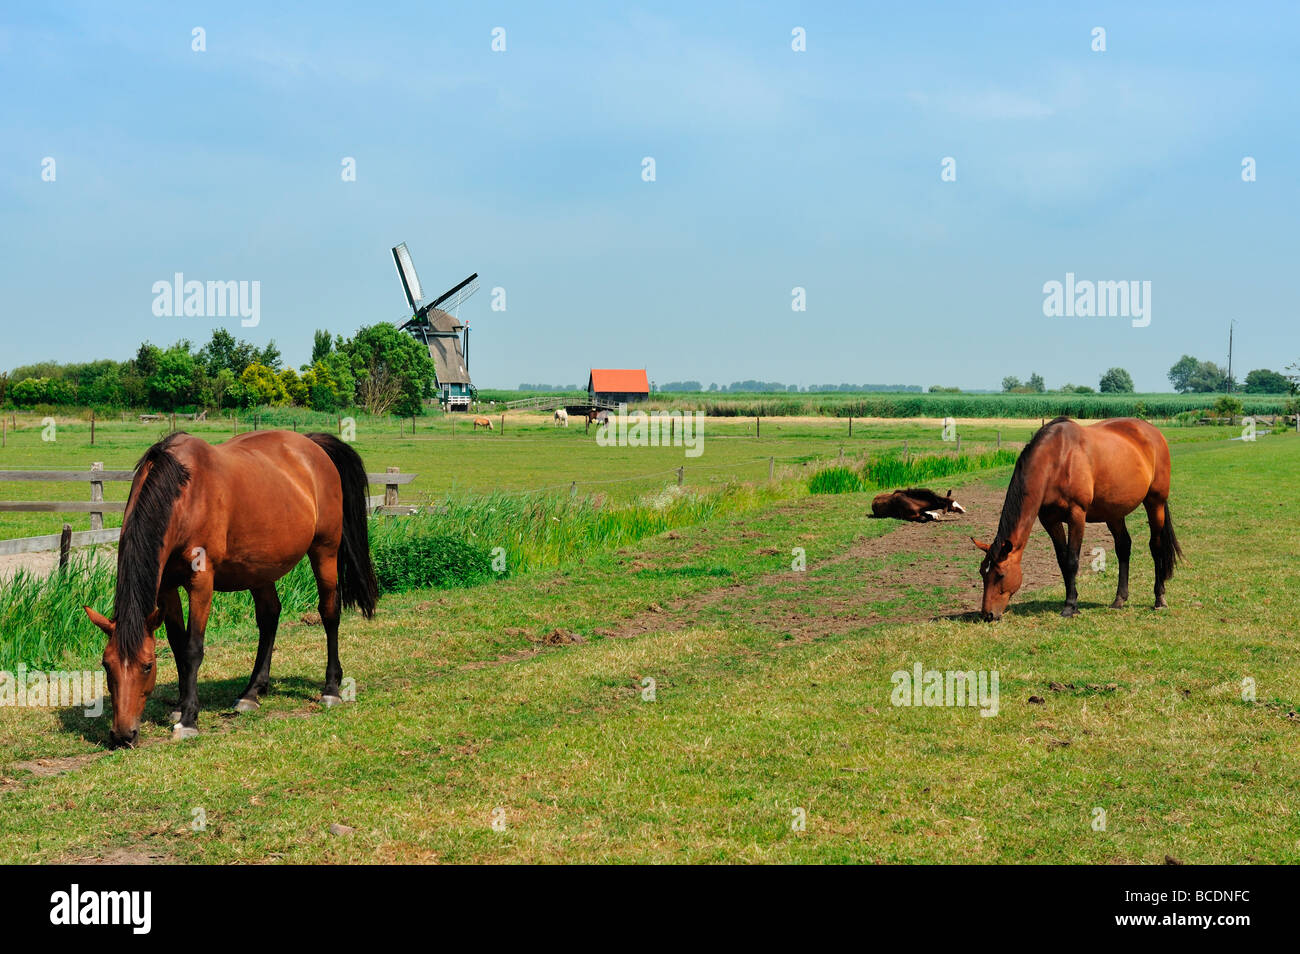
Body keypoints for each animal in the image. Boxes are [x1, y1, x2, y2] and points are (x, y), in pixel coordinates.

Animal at [83, 431, 377, 747]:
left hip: (325, 550)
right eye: (106, 665)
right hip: (260, 568)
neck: (184, 495)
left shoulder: (201, 581)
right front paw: (180, 706)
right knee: (269, 616)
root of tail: (312, 445)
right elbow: (176, 644)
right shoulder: (167, 587)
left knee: (329, 613)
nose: (123, 735)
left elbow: (192, 648)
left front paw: (188, 719)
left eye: (147, 666)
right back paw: (252, 693)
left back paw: (331, 689)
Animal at [971, 417, 1181, 621]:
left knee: (1156, 546)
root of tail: (1153, 432)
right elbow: (1062, 561)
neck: (1058, 459)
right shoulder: (1050, 520)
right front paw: (1073, 604)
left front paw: (1069, 607)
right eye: (982, 572)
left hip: (1155, 503)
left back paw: (1159, 599)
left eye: (1000, 575)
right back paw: (1119, 599)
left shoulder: (1077, 515)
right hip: (1114, 512)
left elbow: (1072, 560)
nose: (987, 615)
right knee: (1123, 546)